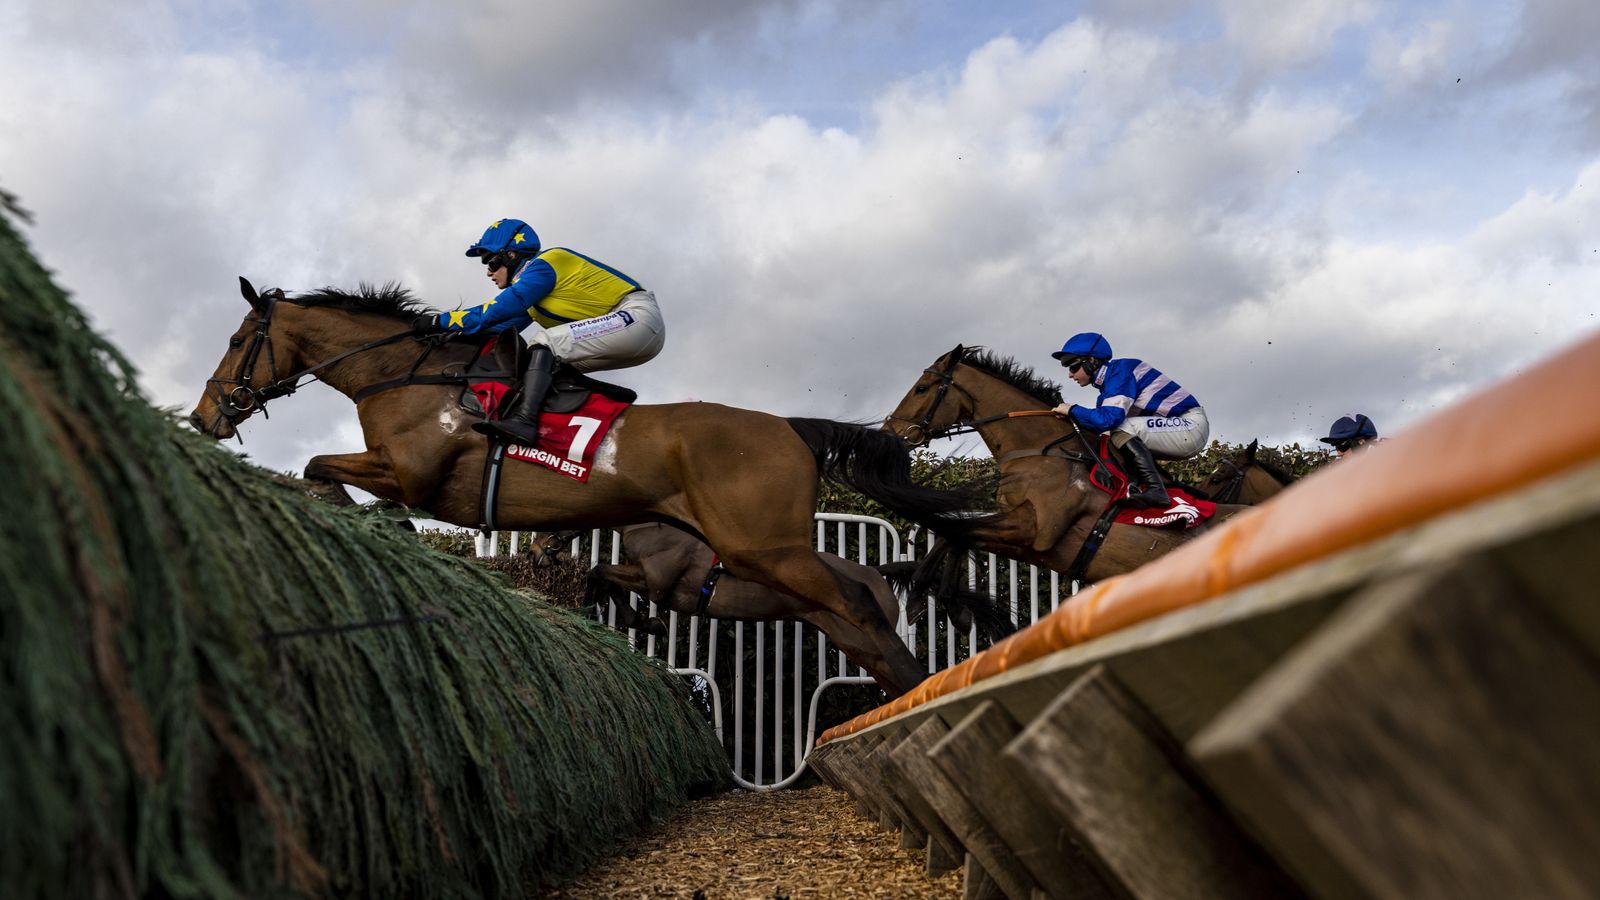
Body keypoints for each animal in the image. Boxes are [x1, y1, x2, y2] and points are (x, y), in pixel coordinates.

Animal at [187, 280, 993, 696]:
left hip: (764, 548)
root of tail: (791, 427)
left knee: (857, 604)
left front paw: (351, 516)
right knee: (851, 613)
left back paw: (912, 692)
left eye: (236, 340)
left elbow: (320, 468)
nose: (204, 415)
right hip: (773, 561)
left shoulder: (412, 473)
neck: (413, 377)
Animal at [882, 344, 1249, 584]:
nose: (889, 433)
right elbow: (955, 535)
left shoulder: (1036, 531)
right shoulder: (1027, 539)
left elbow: (956, 531)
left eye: (922, 388)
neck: (1042, 452)